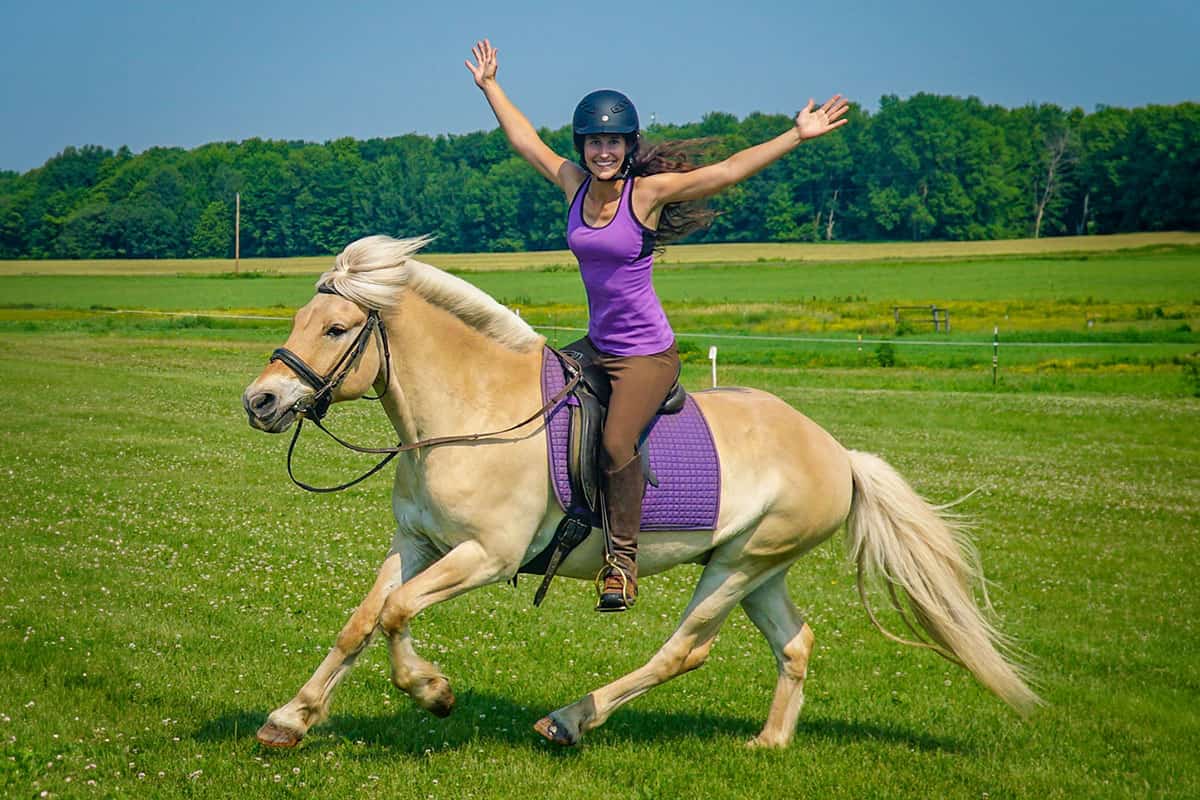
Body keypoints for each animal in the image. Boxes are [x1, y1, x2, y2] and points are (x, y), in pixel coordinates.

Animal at [241, 234, 1039, 749]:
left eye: (336, 327)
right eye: (300, 320)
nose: (261, 401)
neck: (472, 413)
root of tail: (838, 453)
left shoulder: (486, 556)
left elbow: (398, 613)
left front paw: (433, 691)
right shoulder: (418, 542)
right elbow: (362, 621)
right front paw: (290, 719)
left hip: (738, 565)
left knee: (683, 653)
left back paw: (569, 720)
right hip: (760, 570)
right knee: (795, 641)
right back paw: (770, 743)